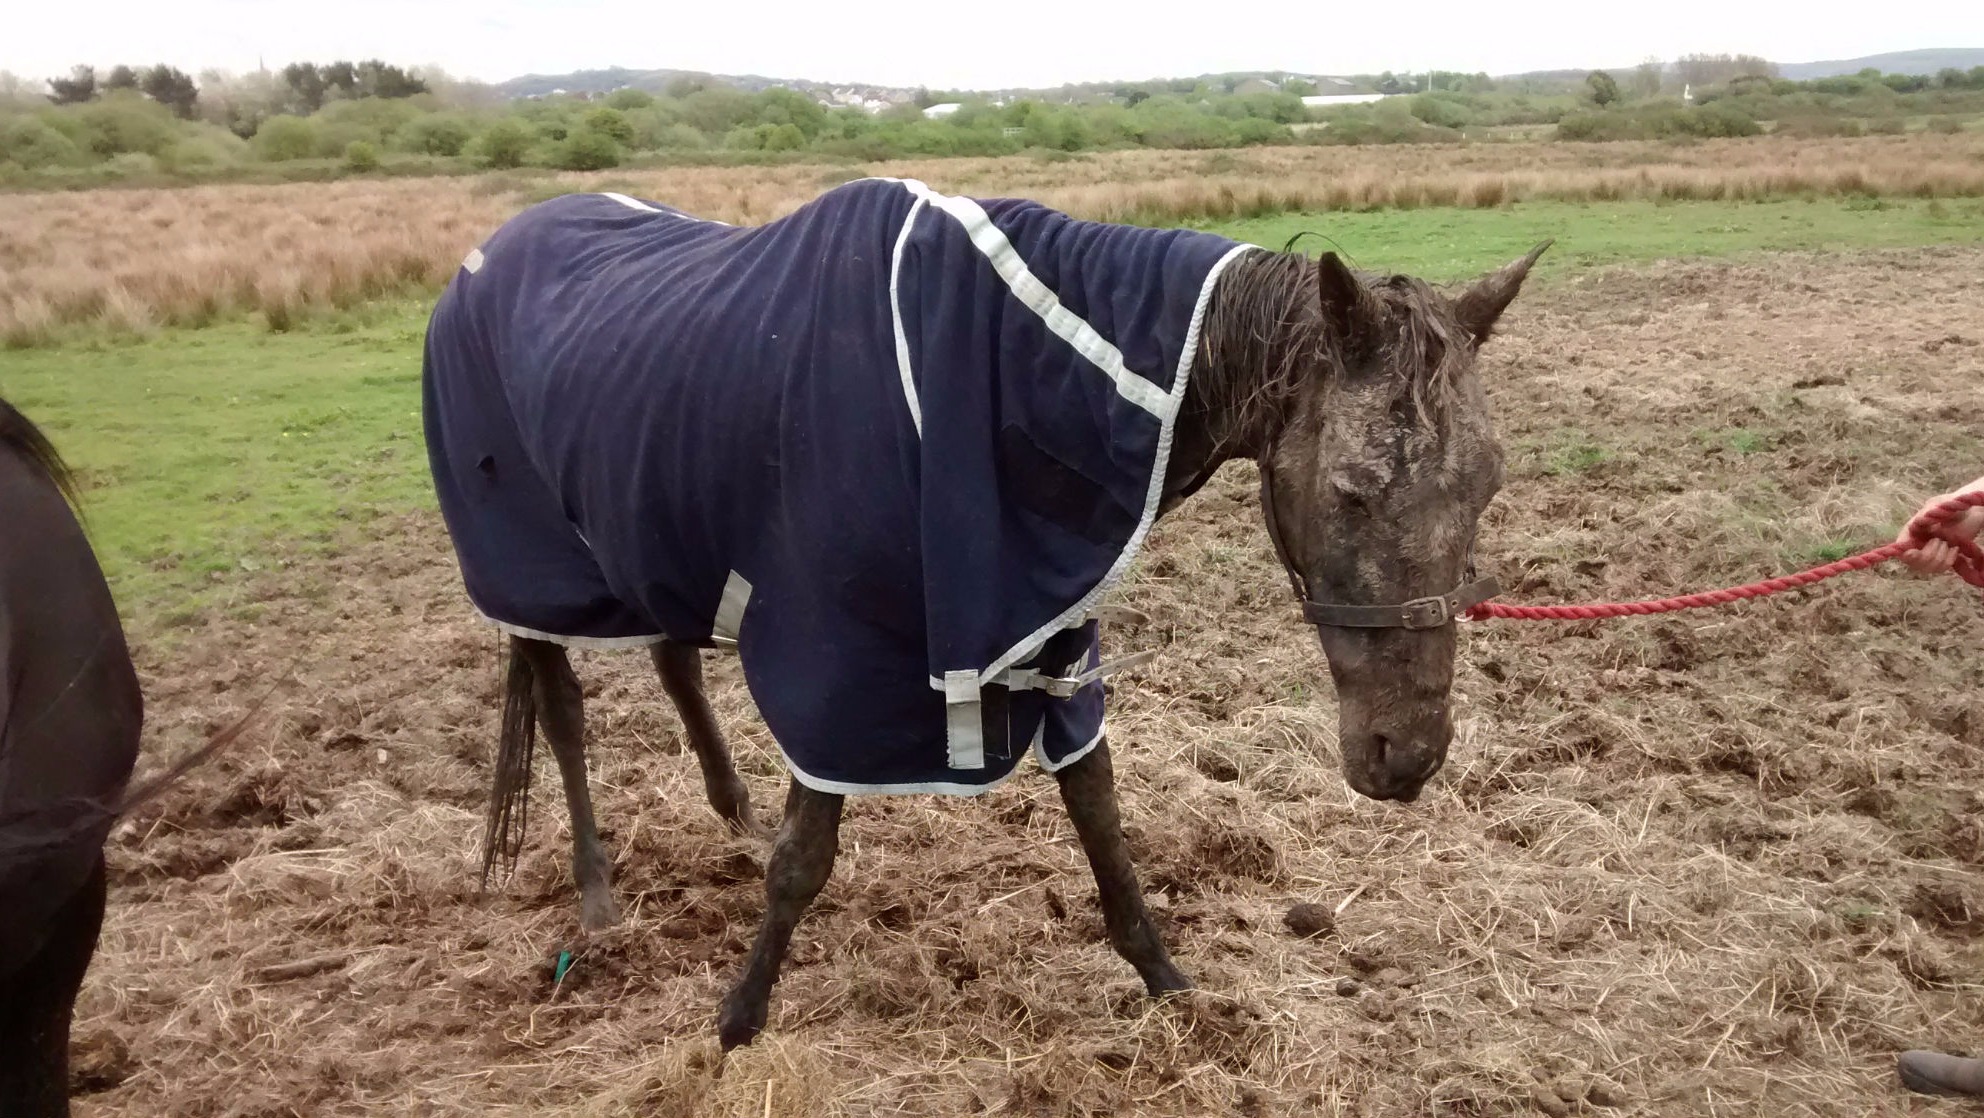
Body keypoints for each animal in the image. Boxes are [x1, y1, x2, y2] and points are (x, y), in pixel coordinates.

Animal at [421, 177, 1543, 1048]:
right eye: (1353, 491)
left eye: (1488, 485)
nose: (1406, 757)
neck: (1007, 380)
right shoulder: (834, 659)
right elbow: (804, 860)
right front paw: (736, 1025)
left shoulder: (1052, 633)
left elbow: (1099, 813)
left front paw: (1167, 983)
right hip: (533, 576)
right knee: (562, 714)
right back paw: (597, 892)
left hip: (651, 547)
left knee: (674, 664)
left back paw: (726, 811)